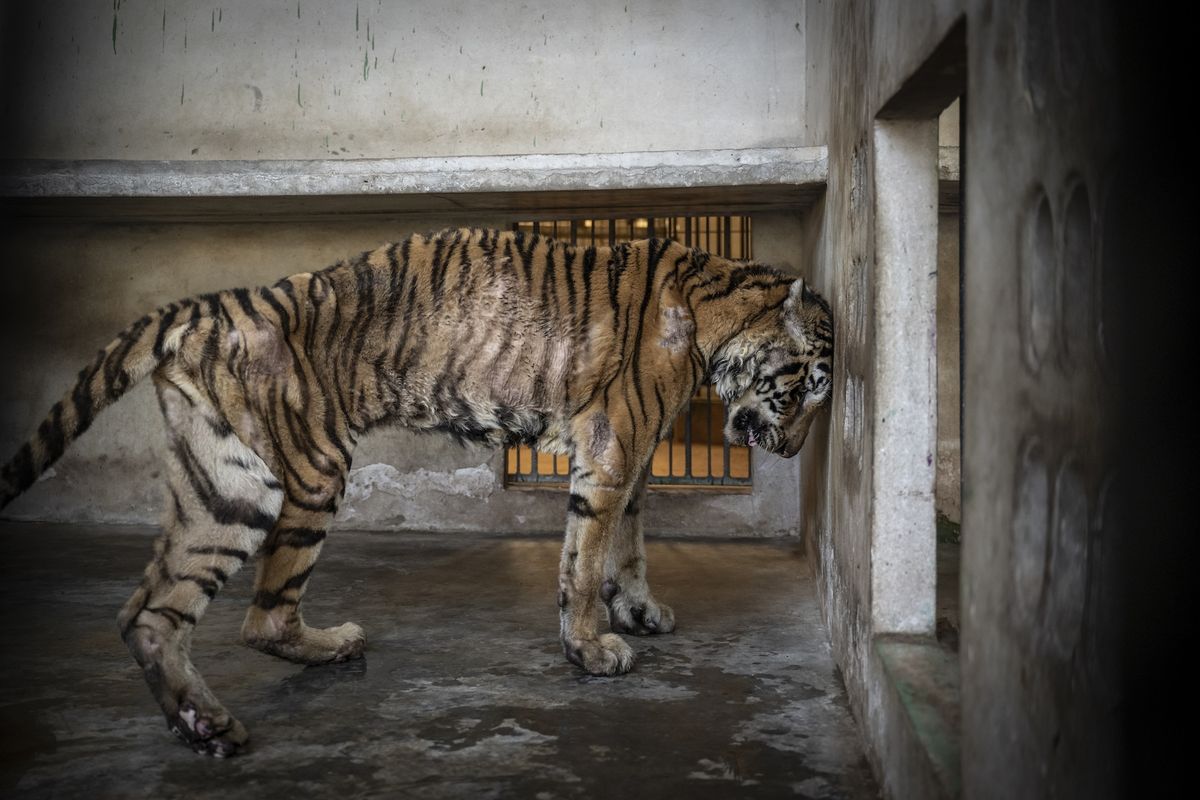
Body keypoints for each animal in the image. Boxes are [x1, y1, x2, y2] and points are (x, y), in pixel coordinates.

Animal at [0, 227, 833, 757]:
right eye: (802, 391)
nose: (792, 448)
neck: (717, 310)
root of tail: (214, 304)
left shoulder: (633, 454)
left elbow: (628, 543)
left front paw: (639, 611)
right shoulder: (611, 445)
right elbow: (586, 555)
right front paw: (592, 648)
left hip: (221, 487)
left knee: (151, 613)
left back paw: (208, 722)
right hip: (300, 474)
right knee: (255, 616)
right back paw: (269, 690)